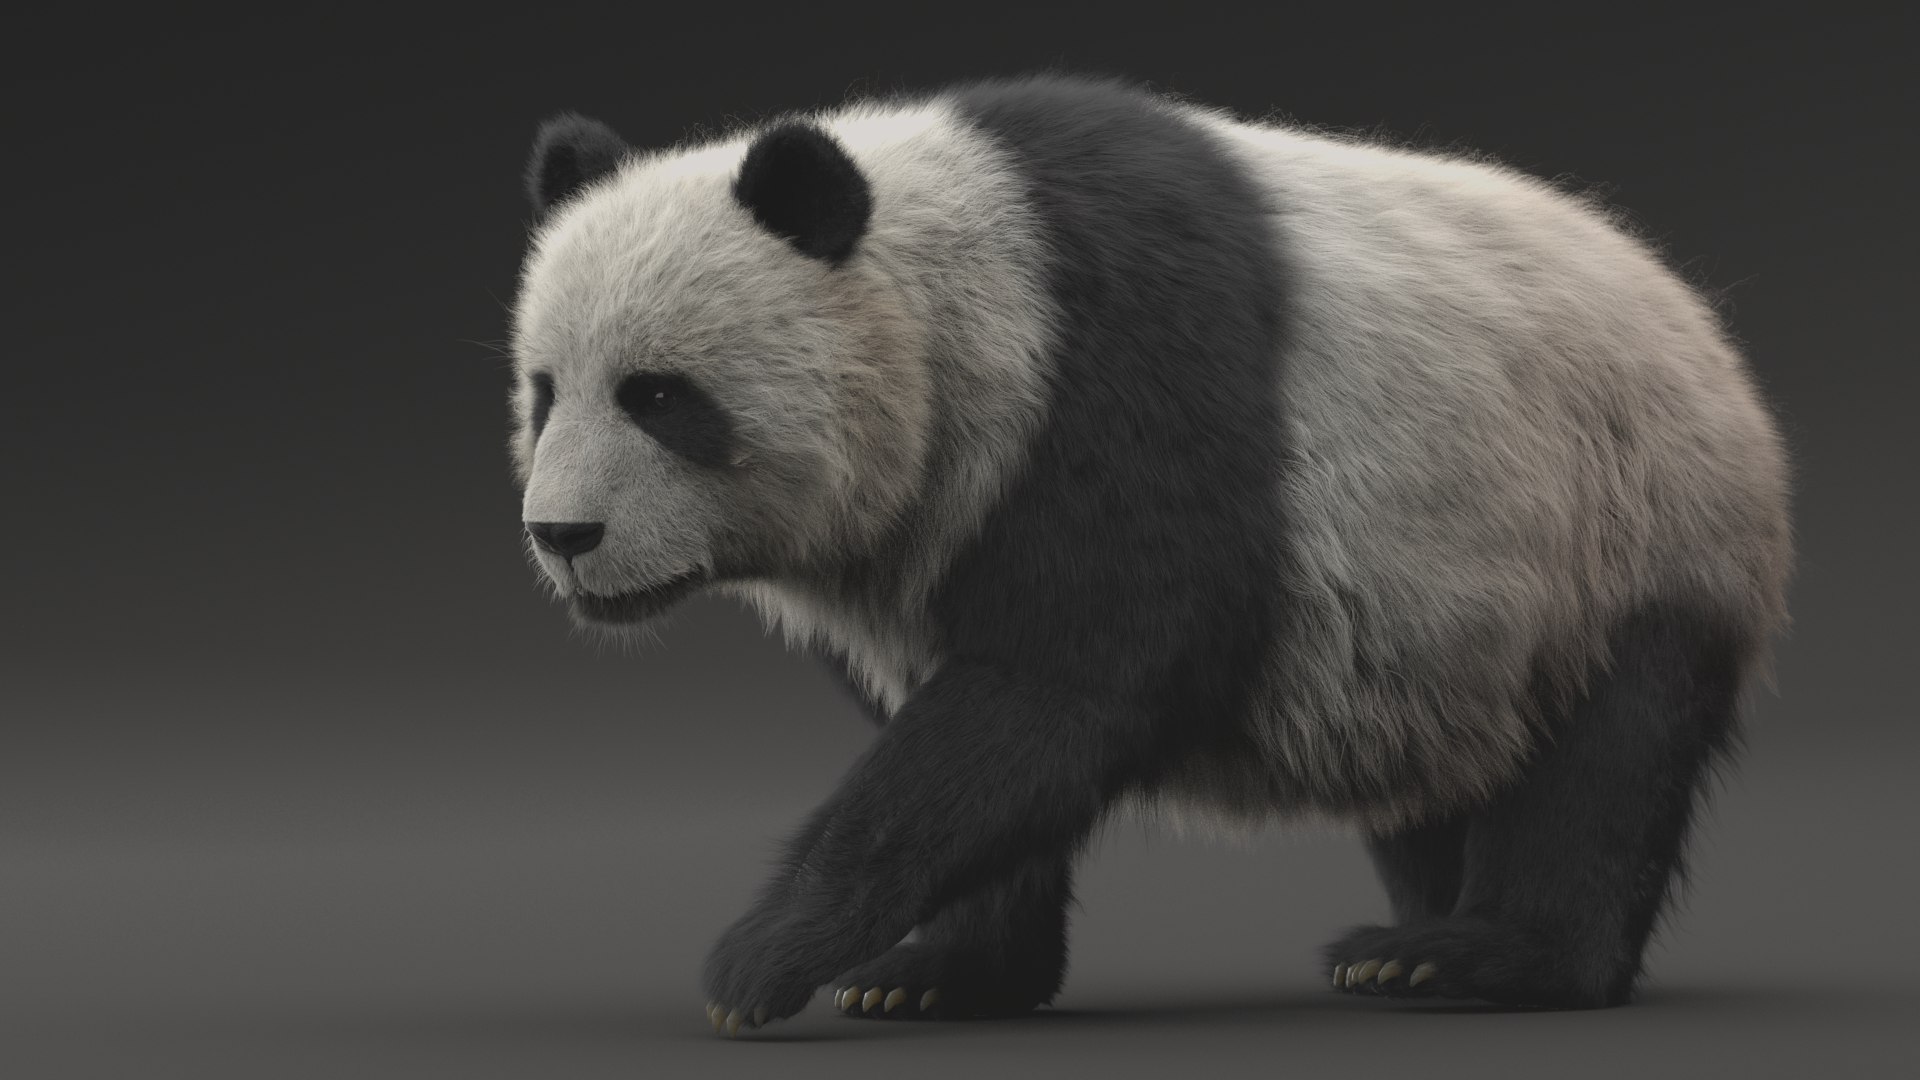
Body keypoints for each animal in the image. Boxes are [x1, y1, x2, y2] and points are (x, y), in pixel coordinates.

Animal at [506, 74, 1792, 1034]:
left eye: (661, 398)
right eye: (544, 391)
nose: (563, 538)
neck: (958, 276)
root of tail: (1704, 330)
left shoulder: (1126, 368)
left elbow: (1076, 678)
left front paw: (759, 960)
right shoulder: (935, 522)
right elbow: (975, 722)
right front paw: (934, 974)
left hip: (1621, 522)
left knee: (1602, 752)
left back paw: (1485, 958)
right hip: (1455, 610)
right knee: (1442, 759)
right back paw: (1410, 940)